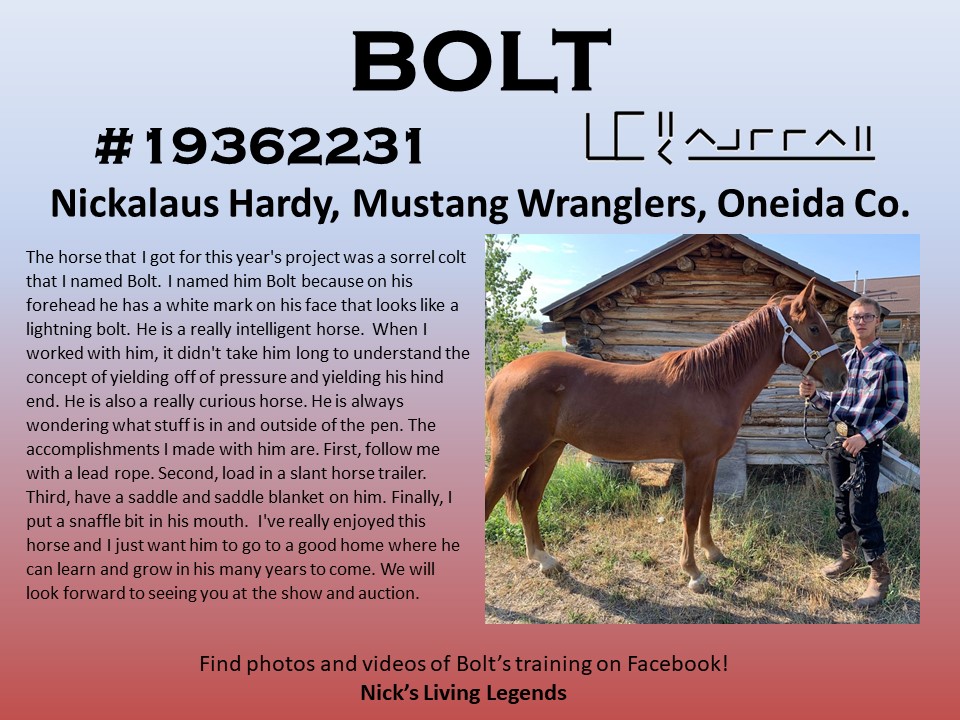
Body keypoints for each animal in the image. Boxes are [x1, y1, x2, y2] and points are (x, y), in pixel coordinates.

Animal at [484, 278, 848, 593]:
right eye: (814, 328)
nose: (842, 378)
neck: (712, 383)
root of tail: (501, 376)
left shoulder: (712, 461)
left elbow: (706, 506)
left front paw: (712, 552)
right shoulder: (697, 461)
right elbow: (690, 512)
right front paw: (693, 572)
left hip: (550, 449)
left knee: (529, 497)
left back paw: (543, 559)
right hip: (511, 455)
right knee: (493, 500)